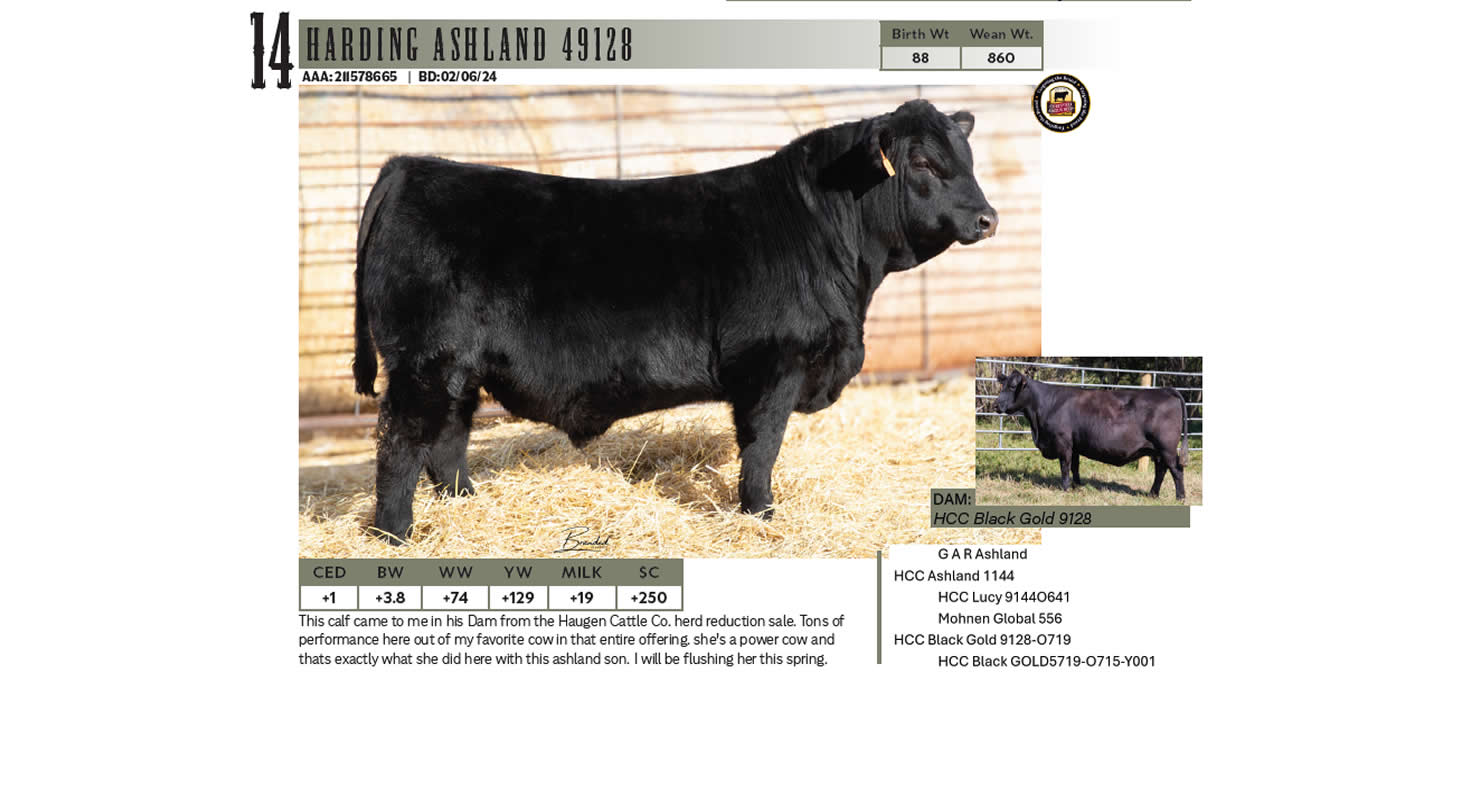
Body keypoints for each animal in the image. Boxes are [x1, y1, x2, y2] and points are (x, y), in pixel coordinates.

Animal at [353, 99, 999, 544]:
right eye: (923, 162)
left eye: (967, 160)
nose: (989, 218)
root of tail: (408, 167)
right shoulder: (774, 364)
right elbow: (762, 447)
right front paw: (760, 514)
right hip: (422, 362)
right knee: (401, 444)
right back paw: (394, 533)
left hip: (458, 369)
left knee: (447, 442)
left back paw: (466, 504)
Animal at [992, 369, 1190, 499]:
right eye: (1002, 385)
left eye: (1013, 386)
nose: (995, 405)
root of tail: (1165, 390)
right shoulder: (1075, 446)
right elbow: (1075, 467)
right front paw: (1077, 486)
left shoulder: (1063, 443)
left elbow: (1065, 466)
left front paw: (1065, 488)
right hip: (1158, 451)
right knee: (1161, 470)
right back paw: (1153, 494)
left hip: (1166, 448)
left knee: (1176, 470)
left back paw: (1180, 497)